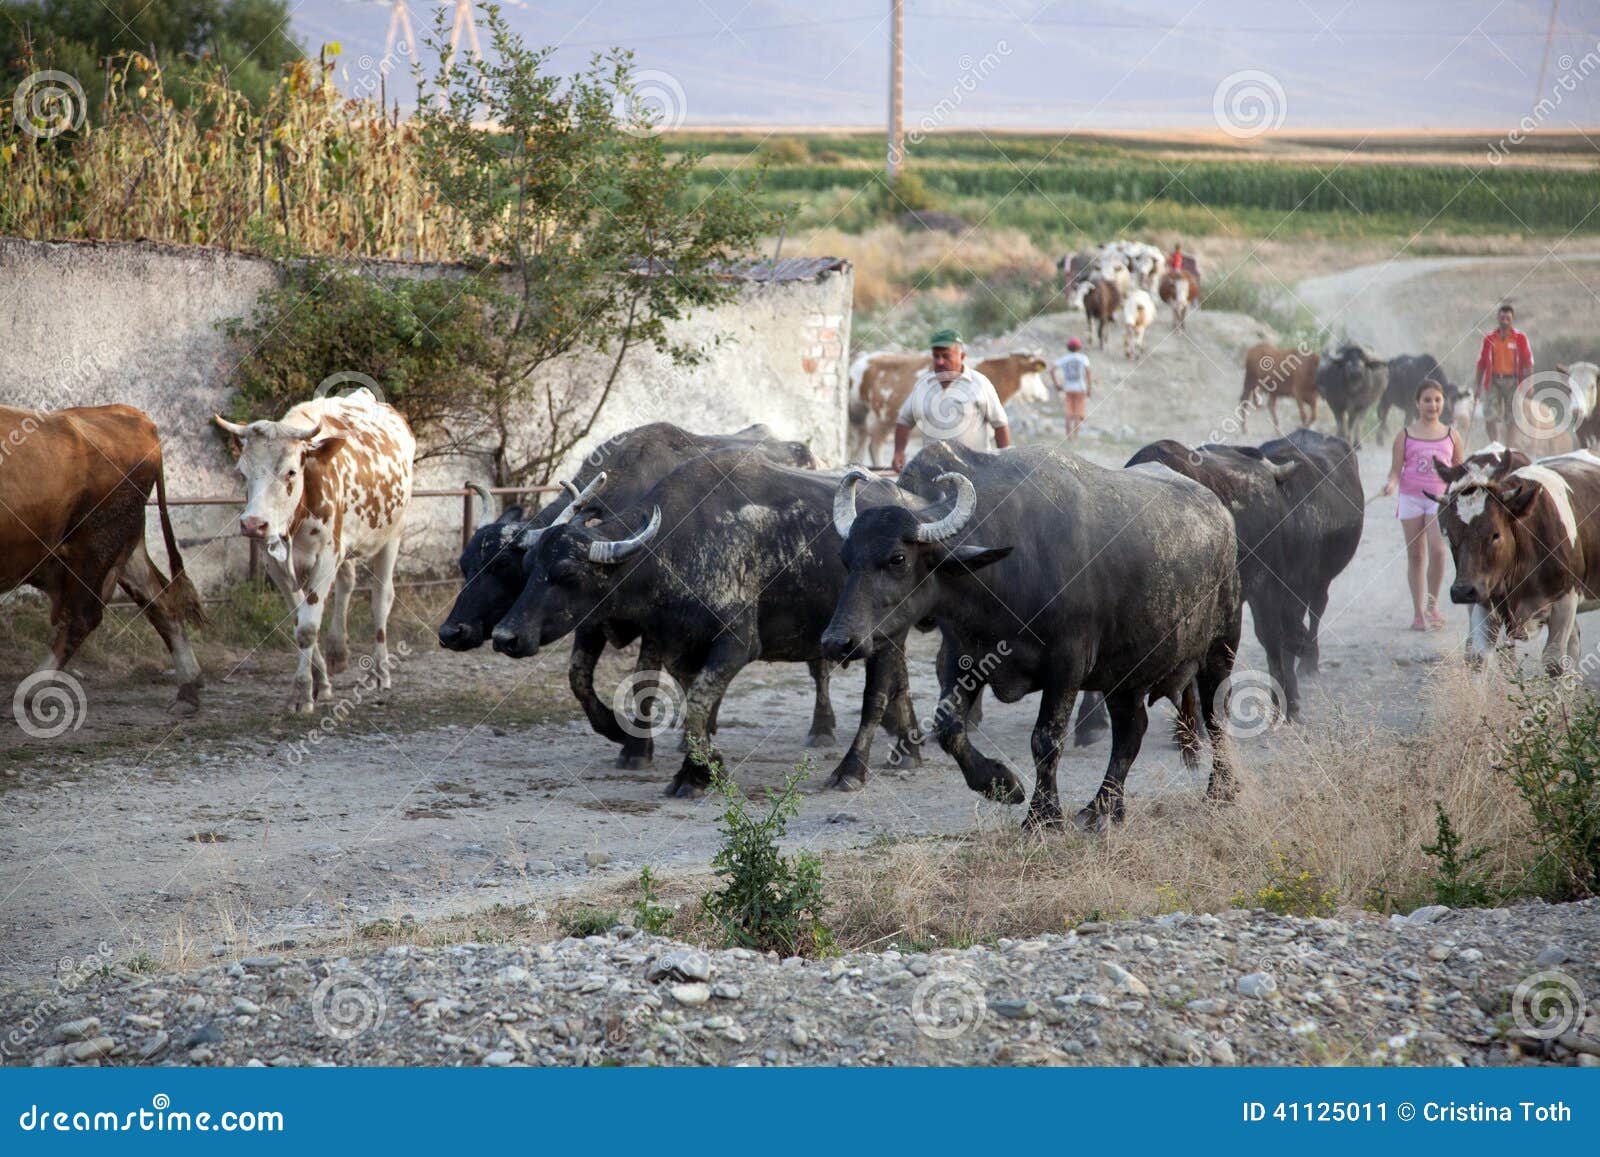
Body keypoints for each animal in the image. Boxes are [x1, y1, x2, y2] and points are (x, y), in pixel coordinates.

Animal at [1, 404, 205, 715]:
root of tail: (130, 414)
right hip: (124, 548)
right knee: (162, 603)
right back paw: (188, 689)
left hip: (96, 544)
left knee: (82, 617)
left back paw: (29, 689)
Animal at [214, 389, 414, 713]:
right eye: (242, 472)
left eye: (291, 472)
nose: (253, 524)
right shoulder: (275, 564)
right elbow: (300, 621)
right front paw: (319, 682)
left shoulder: (326, 556)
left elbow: (308, 627)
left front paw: (302, 694)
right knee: (347, 583)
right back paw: (338, 652)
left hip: (392, 534)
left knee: (381, 599)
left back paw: (380, 672)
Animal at [437, 423, 840, 769]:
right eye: (465, 564)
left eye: (505, 565)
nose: (451, 632)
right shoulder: (591, 620)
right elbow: (578, 677)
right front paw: (614, 728)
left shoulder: (651, 625)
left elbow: (644, 681)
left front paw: (636, 747)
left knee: (819, 664)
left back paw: (822, 728)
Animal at [489, 456, 928, 796]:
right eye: (529, 566)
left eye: (566, 574)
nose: (504, 636)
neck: (675, 546)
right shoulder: (675, 645)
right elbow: (682, 702)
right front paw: (688, 763)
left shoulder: (736, 644)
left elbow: (698, 705)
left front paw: (697, 773)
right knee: (900, 684)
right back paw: (910, 749)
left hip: (883, 637)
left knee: (876, 698)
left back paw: (850, 770)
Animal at [821, 441, 1242, 829]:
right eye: (846, 558)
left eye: (898, 559)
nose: (837, 641)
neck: (1003, 576)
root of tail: (1221, 515)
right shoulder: (963, 658)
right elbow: (949, 727)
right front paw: (1001, 784)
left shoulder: (1067, 665)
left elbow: (1046, 739)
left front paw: (1043, 816)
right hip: (1125, 675)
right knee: (1130, 731)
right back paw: (1103, 809)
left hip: (1220, 649)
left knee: (1215, 718)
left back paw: (1220, 793)